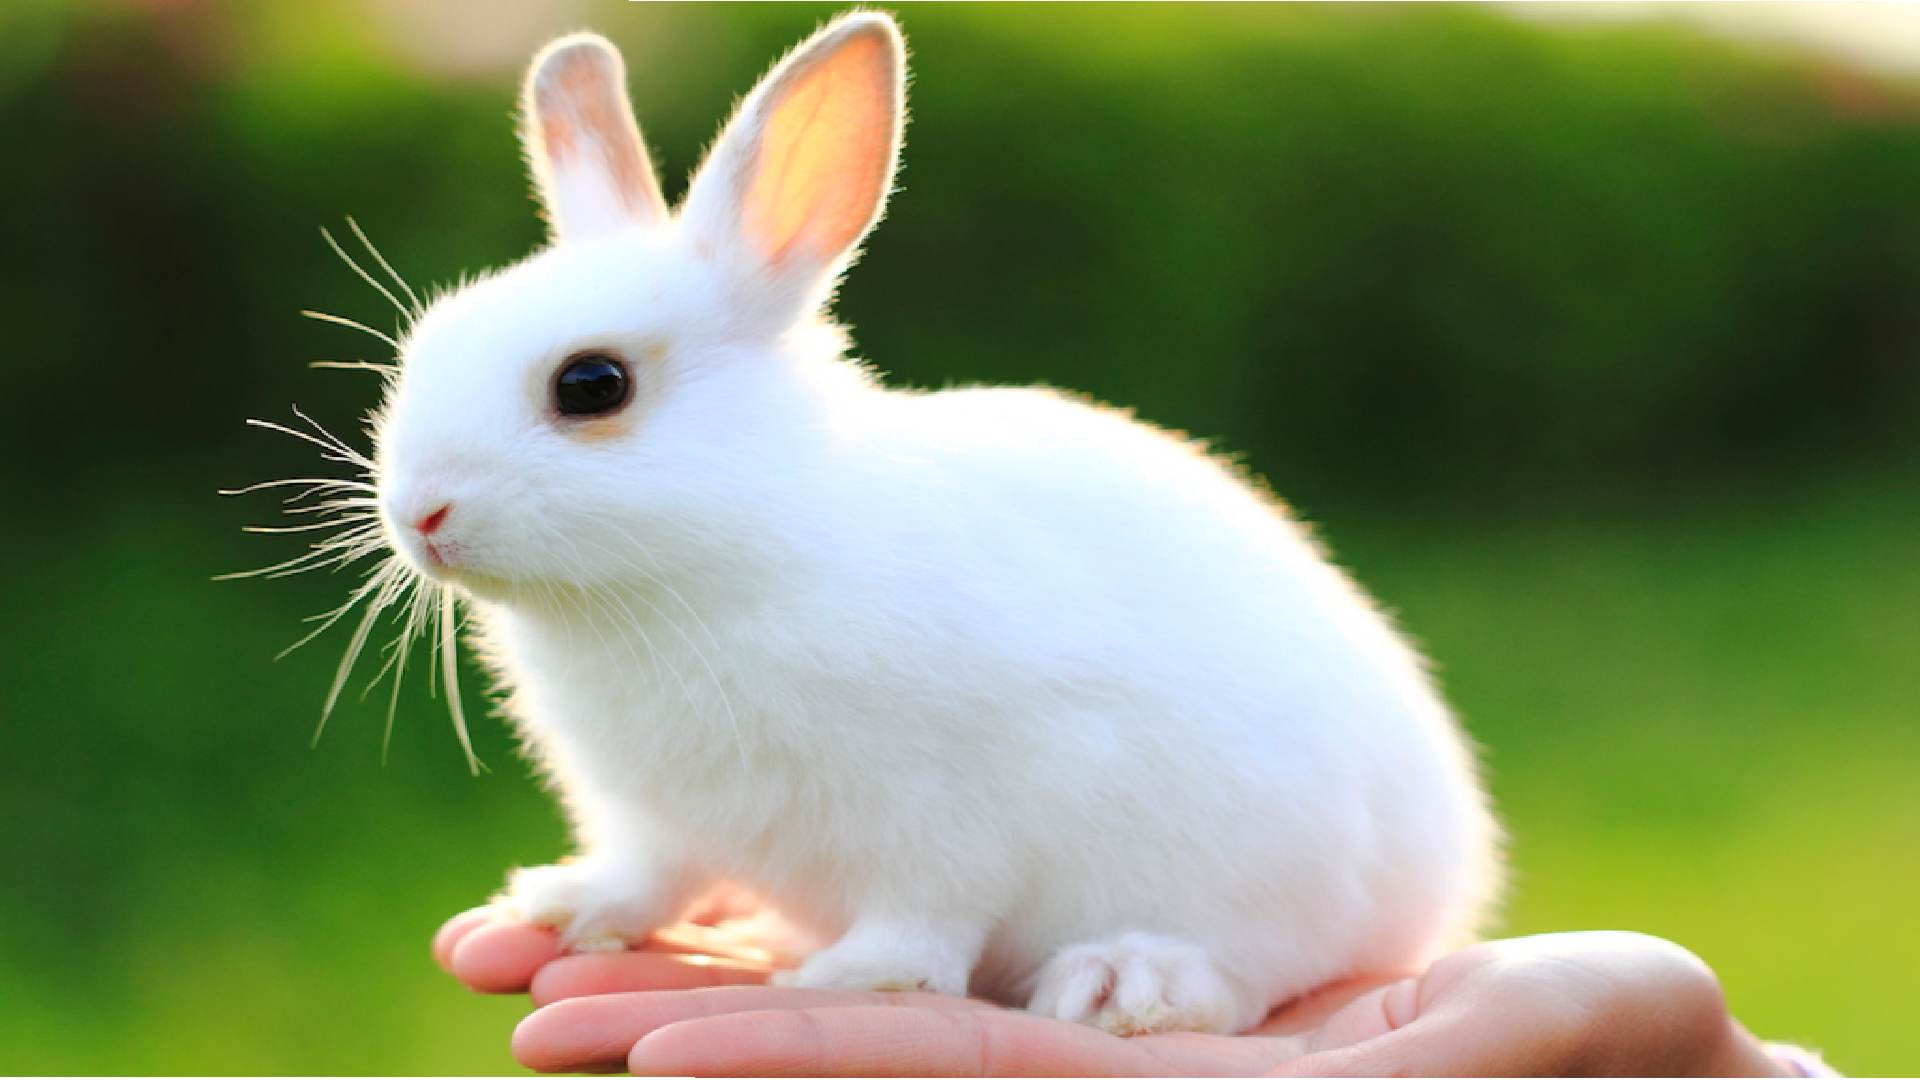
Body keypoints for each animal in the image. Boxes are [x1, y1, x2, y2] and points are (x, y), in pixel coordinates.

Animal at [364, 12, 1500, 1036]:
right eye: (426, 345)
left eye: (591, 385)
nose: (419, 515)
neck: (742, 542)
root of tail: (1447, 872)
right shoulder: (652, 815)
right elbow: (655, 875)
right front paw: (564, 905)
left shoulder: (945, 818)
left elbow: (927, 914)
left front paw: (859, 978)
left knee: (1248, 972)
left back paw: (1126, 984)